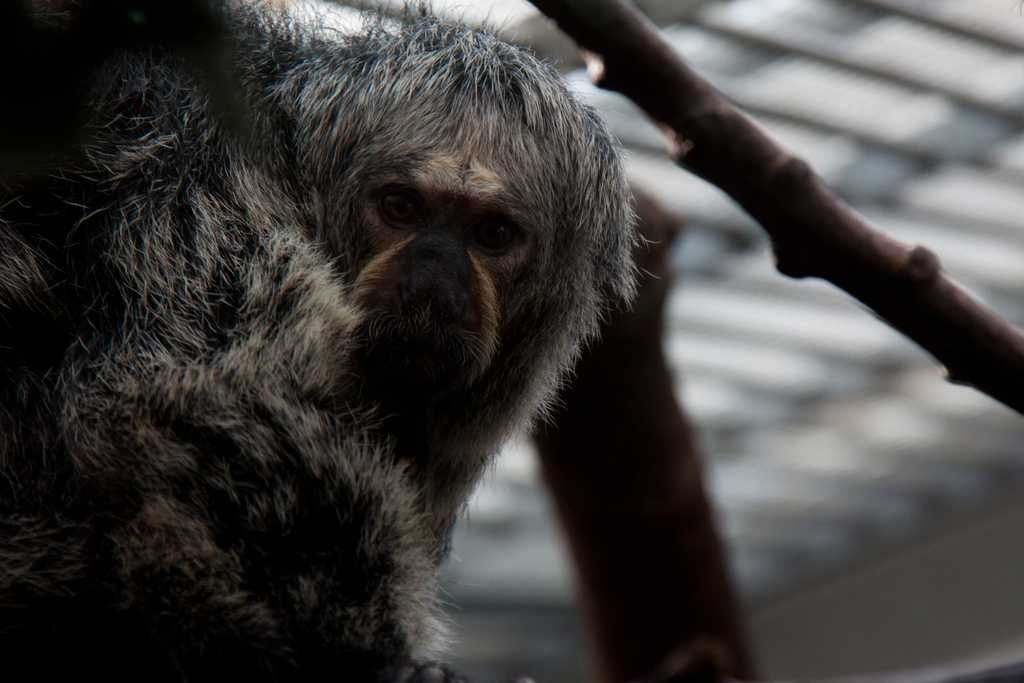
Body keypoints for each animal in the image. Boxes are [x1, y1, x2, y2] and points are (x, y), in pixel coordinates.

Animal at [0, 1, 636, 680]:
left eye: (493, 233)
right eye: (400, 206)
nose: (435, 273)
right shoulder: (195, 205)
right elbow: (186, 408)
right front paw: (378, 658)